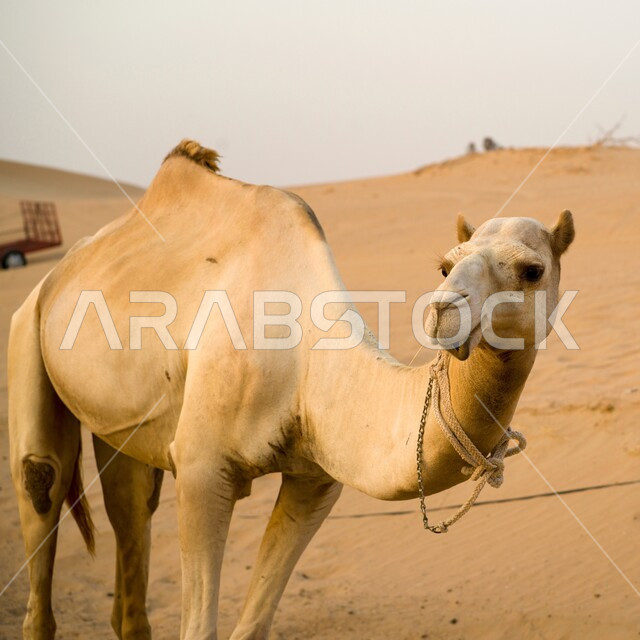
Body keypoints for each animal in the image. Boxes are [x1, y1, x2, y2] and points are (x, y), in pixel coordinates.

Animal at [8, 140, 575, 639]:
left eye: (532, 270)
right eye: (445, 264)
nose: (442, 313)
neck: (306, 369)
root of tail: (57, 273)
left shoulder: (314, 479)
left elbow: (254, 624)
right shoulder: (201, 466)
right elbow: (200, 627)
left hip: (122, 427)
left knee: (131, 507)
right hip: (25, 331)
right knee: (41, 480)